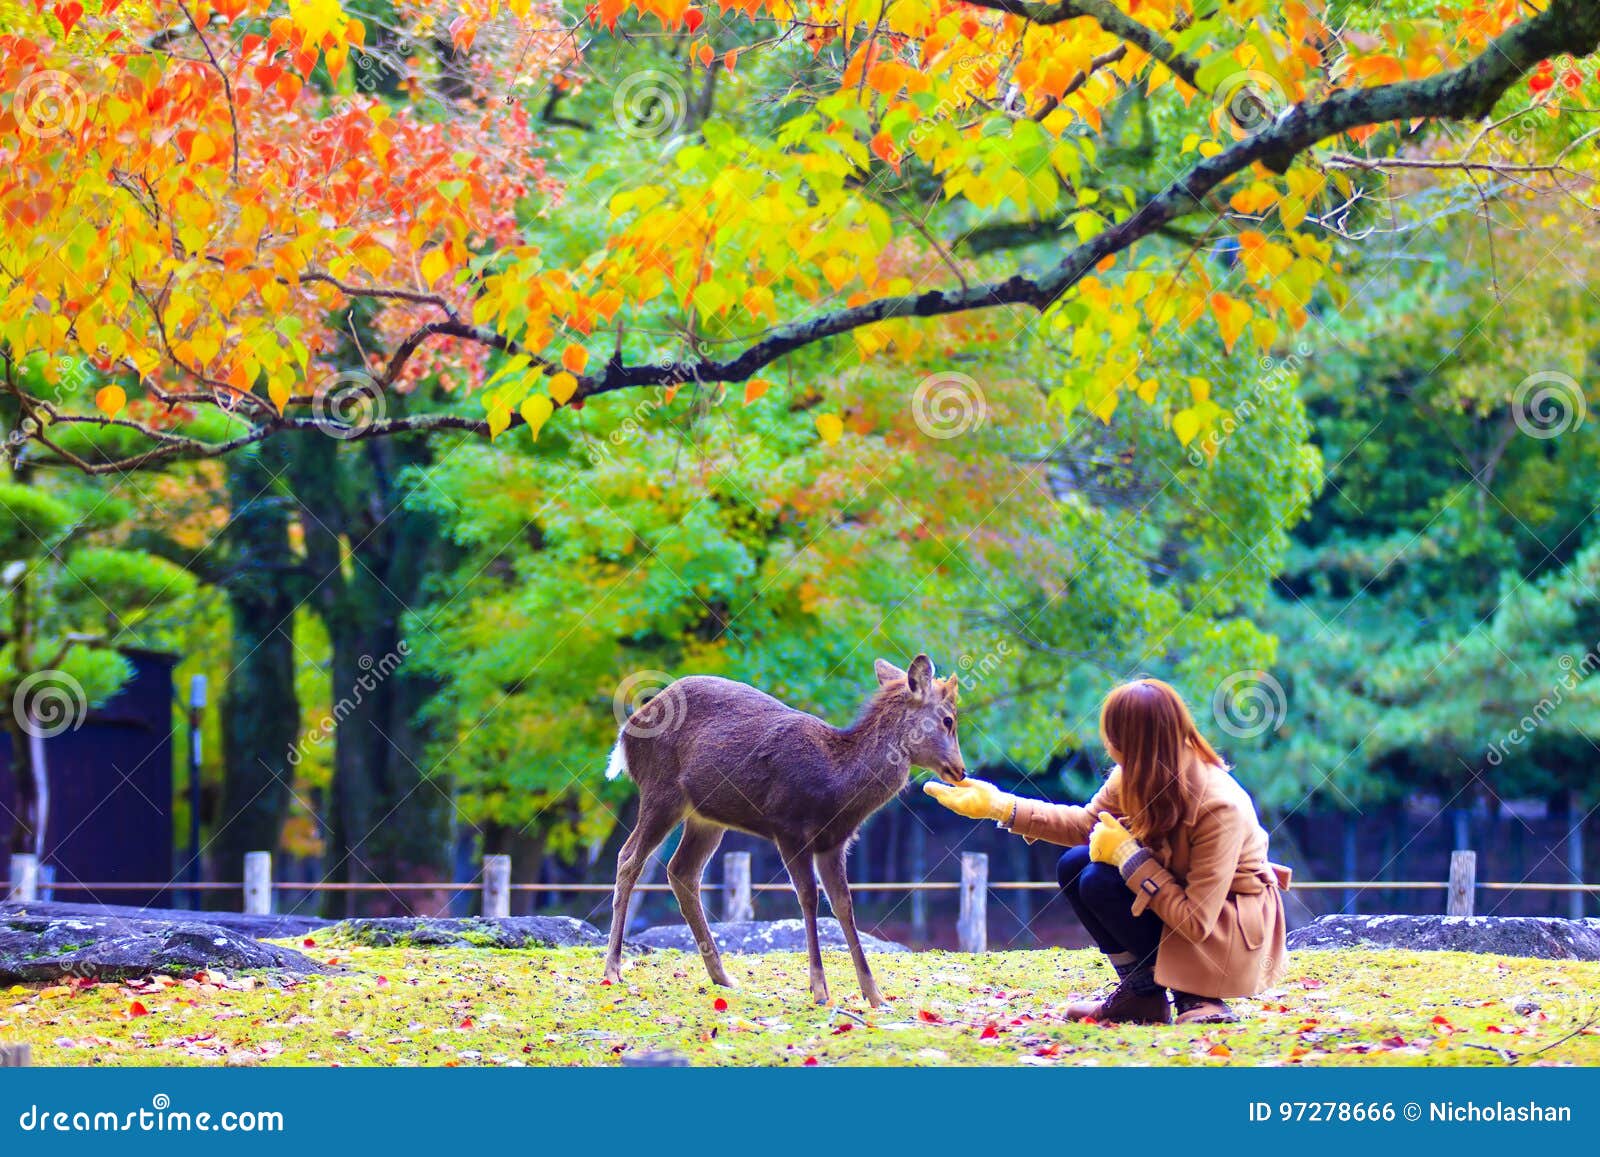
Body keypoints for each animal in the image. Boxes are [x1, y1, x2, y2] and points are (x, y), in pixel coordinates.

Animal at [601, 654, 966, 1006]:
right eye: (949, 719)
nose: (960, 771)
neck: (836, 785)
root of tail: (624, 735)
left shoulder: (834, 843)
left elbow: (843, 904)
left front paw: (875, 995)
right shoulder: (788, 828)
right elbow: (808, 897)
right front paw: (819, 990)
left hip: (706, 817)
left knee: (682, 871)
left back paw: (723, 977)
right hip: (660, 792)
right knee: (628, 858)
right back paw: (613, 969)